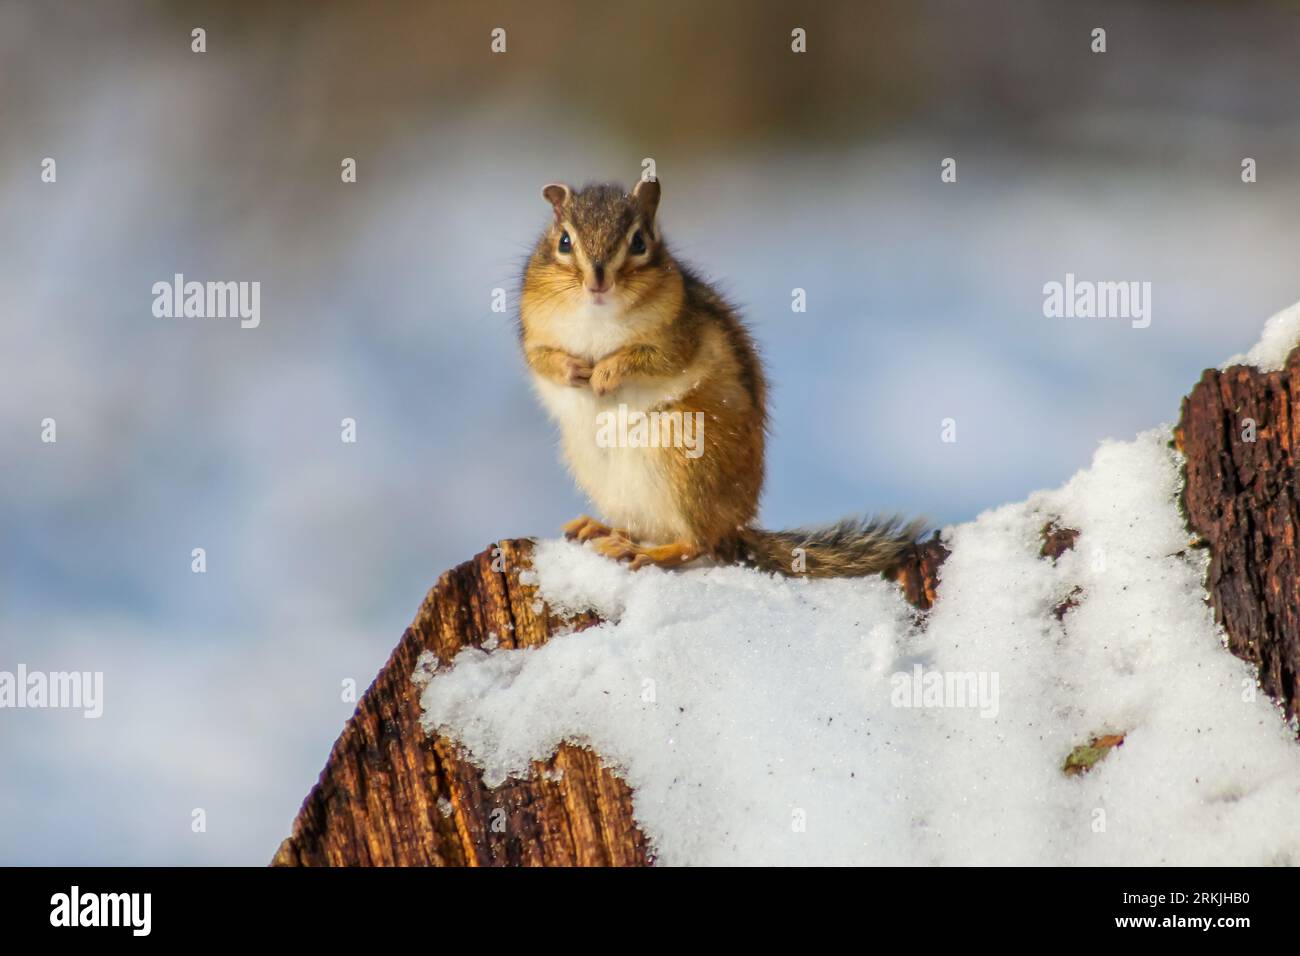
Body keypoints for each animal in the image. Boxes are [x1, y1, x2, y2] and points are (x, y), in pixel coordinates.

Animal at [518, 175, 925, 577]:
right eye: (564, 241)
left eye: (639, 242)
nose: (598, 282)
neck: (597, 315)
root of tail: (736, 527)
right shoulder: (534, 335)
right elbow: (541, 359)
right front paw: (573, 368)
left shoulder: (679, 335)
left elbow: (655, 359)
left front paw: (605, 373)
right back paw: (602, 529)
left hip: (684, 454)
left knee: (695, 543)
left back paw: (644, 553)